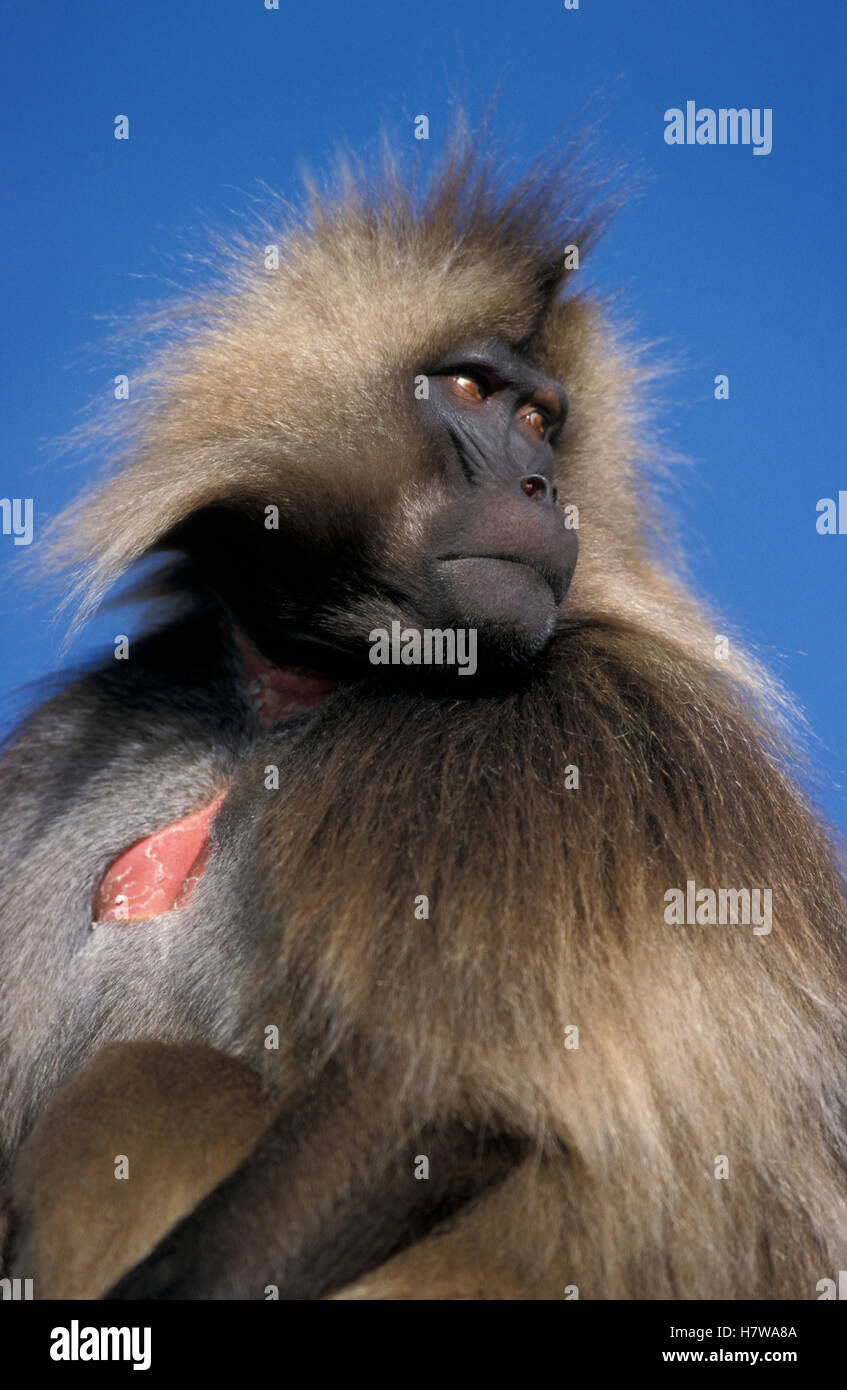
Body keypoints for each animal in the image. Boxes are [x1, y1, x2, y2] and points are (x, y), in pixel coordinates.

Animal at [0, 133, 845, 1301]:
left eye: (540, 423)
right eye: (471, 389)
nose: (541, 490)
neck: (308, 690)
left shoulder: (574, 735)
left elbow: (437, 1104)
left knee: (144, 1089)